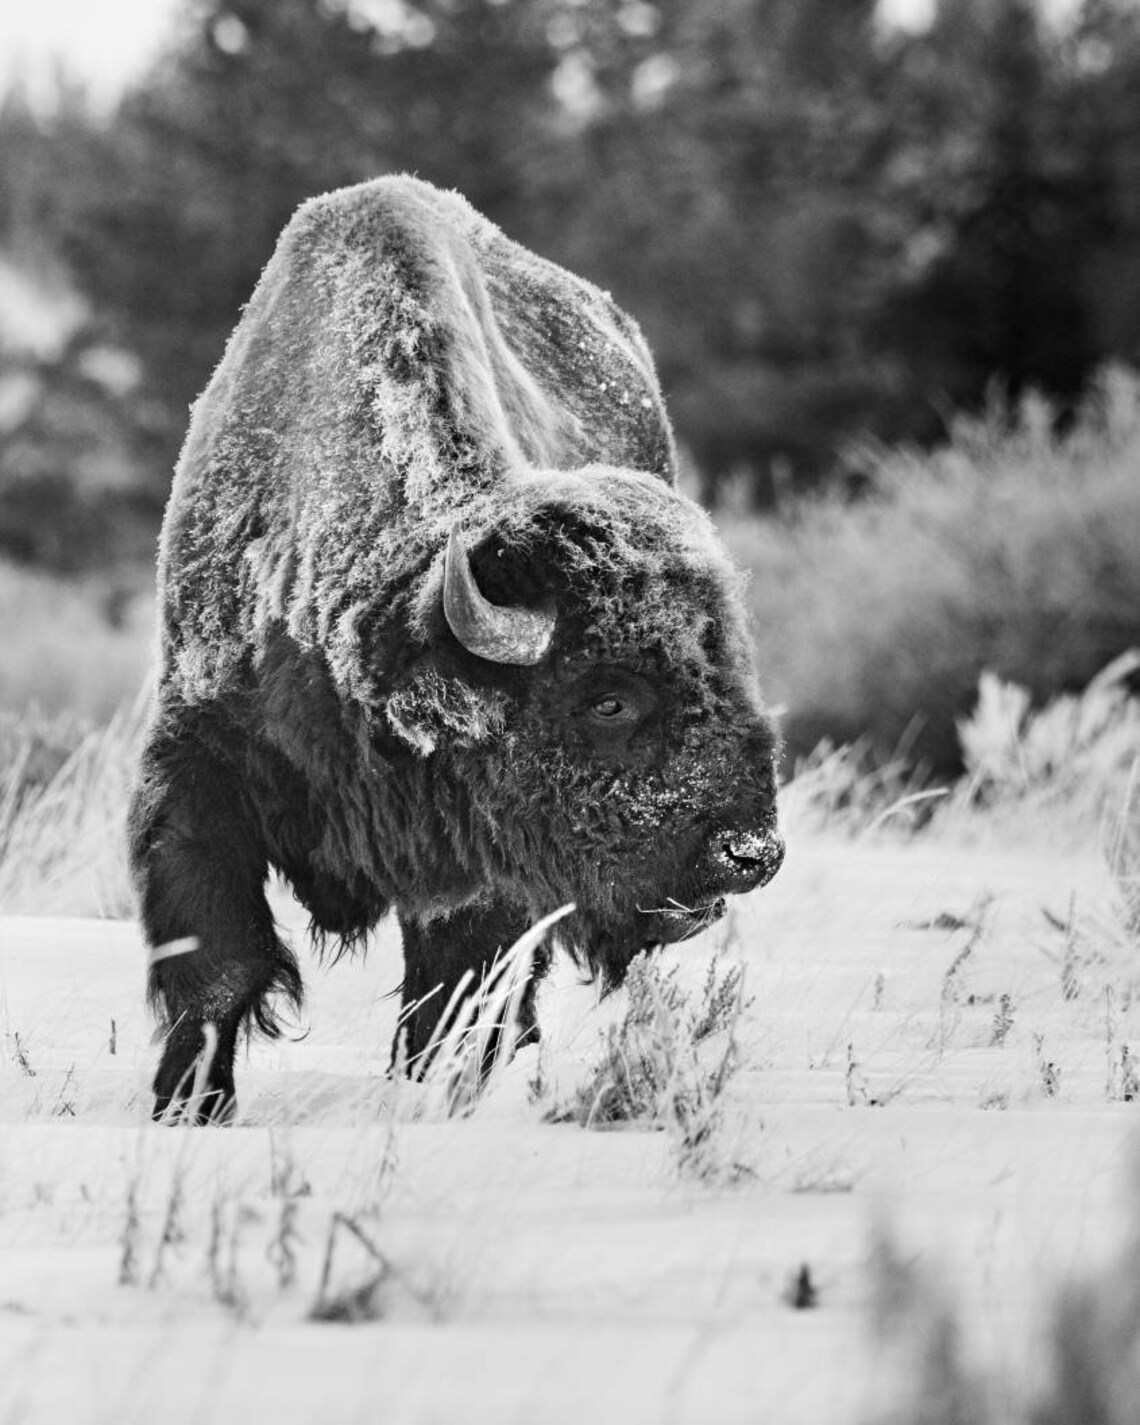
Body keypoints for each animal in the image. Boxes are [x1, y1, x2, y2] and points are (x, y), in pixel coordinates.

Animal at [130, 176, 784, 1122]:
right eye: (609, 696)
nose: (749, 852)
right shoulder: (199, 767)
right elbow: (219, 966)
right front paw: (189, 1109)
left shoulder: (484, 868)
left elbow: (452, 995)